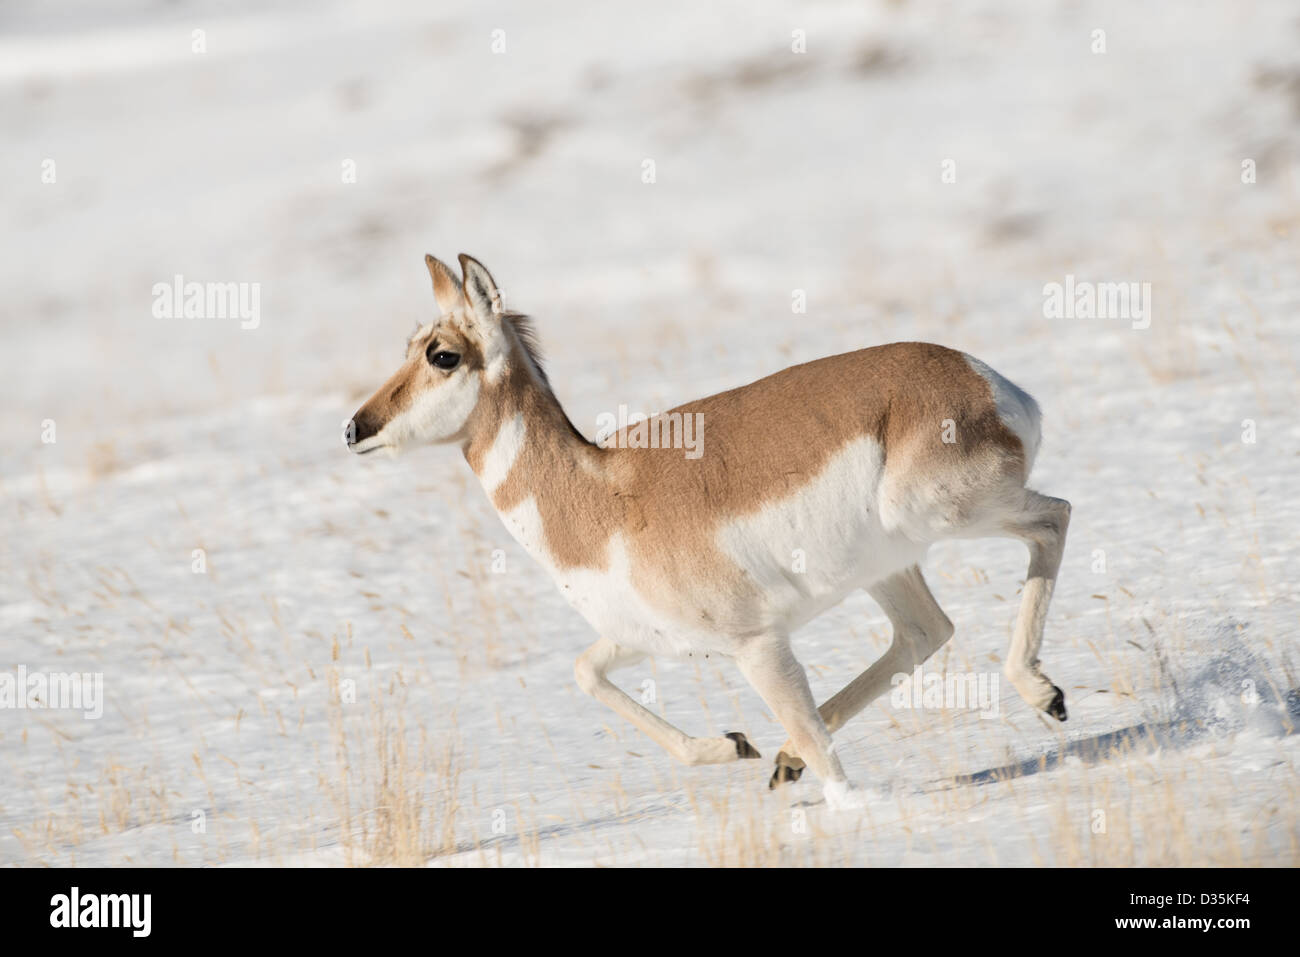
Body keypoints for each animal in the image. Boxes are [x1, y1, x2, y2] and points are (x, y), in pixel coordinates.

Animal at [346, 254, 1072, 810]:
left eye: (443, 354)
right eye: (409, 346)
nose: (355, 428)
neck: (601, 491)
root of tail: (986, 382)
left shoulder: (758, 646)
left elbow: (824, 753)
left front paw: (844, 806)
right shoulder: (643, 638)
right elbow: (586, 673)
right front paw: (732, 744)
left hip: (950, 515)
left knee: (1055, 516)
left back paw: (1043, 690)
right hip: (891, 567)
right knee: (925, 631)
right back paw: (782, 759)